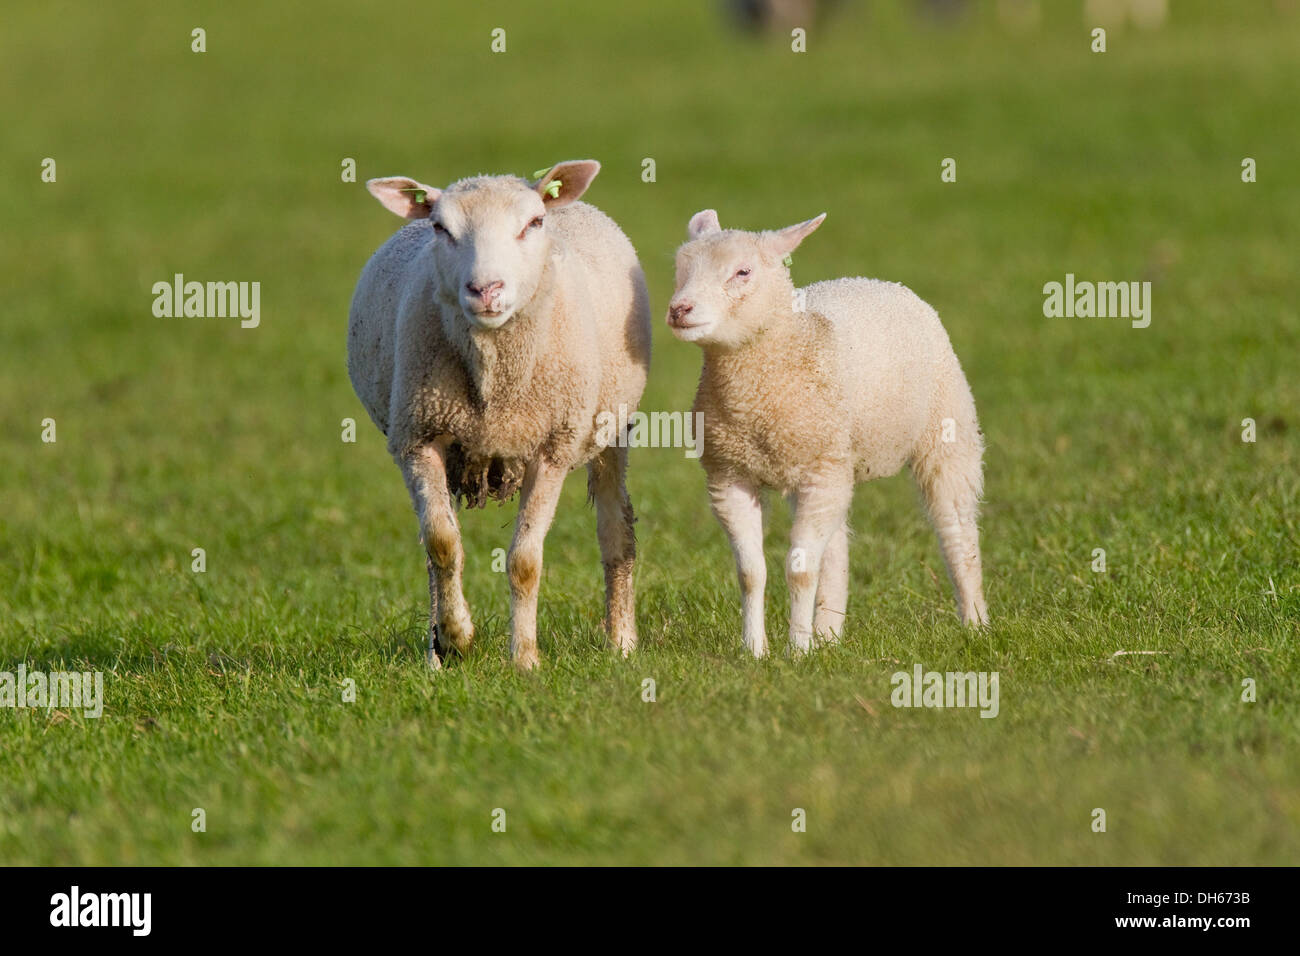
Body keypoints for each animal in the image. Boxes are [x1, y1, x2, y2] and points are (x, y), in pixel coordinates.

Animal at [347, 160, 652, 670]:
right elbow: (442, 545)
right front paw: (455, 638)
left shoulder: (552, 448)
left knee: (616, 529)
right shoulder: (417, 438)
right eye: (440, 227)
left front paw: (525, 660)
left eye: (533, 223)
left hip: (610, 428)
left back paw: (622, 643)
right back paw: (434, 657)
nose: (485, 289)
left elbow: (525, 561)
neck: (496, 378)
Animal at [665, 208, 988, 657]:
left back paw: (976, 624)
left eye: (743, 272)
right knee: (836, 550)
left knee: (957, 531)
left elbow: (800, 572)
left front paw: (796, 652)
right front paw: (755, 651)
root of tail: (872, 280)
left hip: (944, 430)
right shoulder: (730, 476)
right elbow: (751, 572)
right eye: (681, 268)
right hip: (831, 462)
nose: (679, 309)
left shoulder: (818, 473)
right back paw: (829, 635)